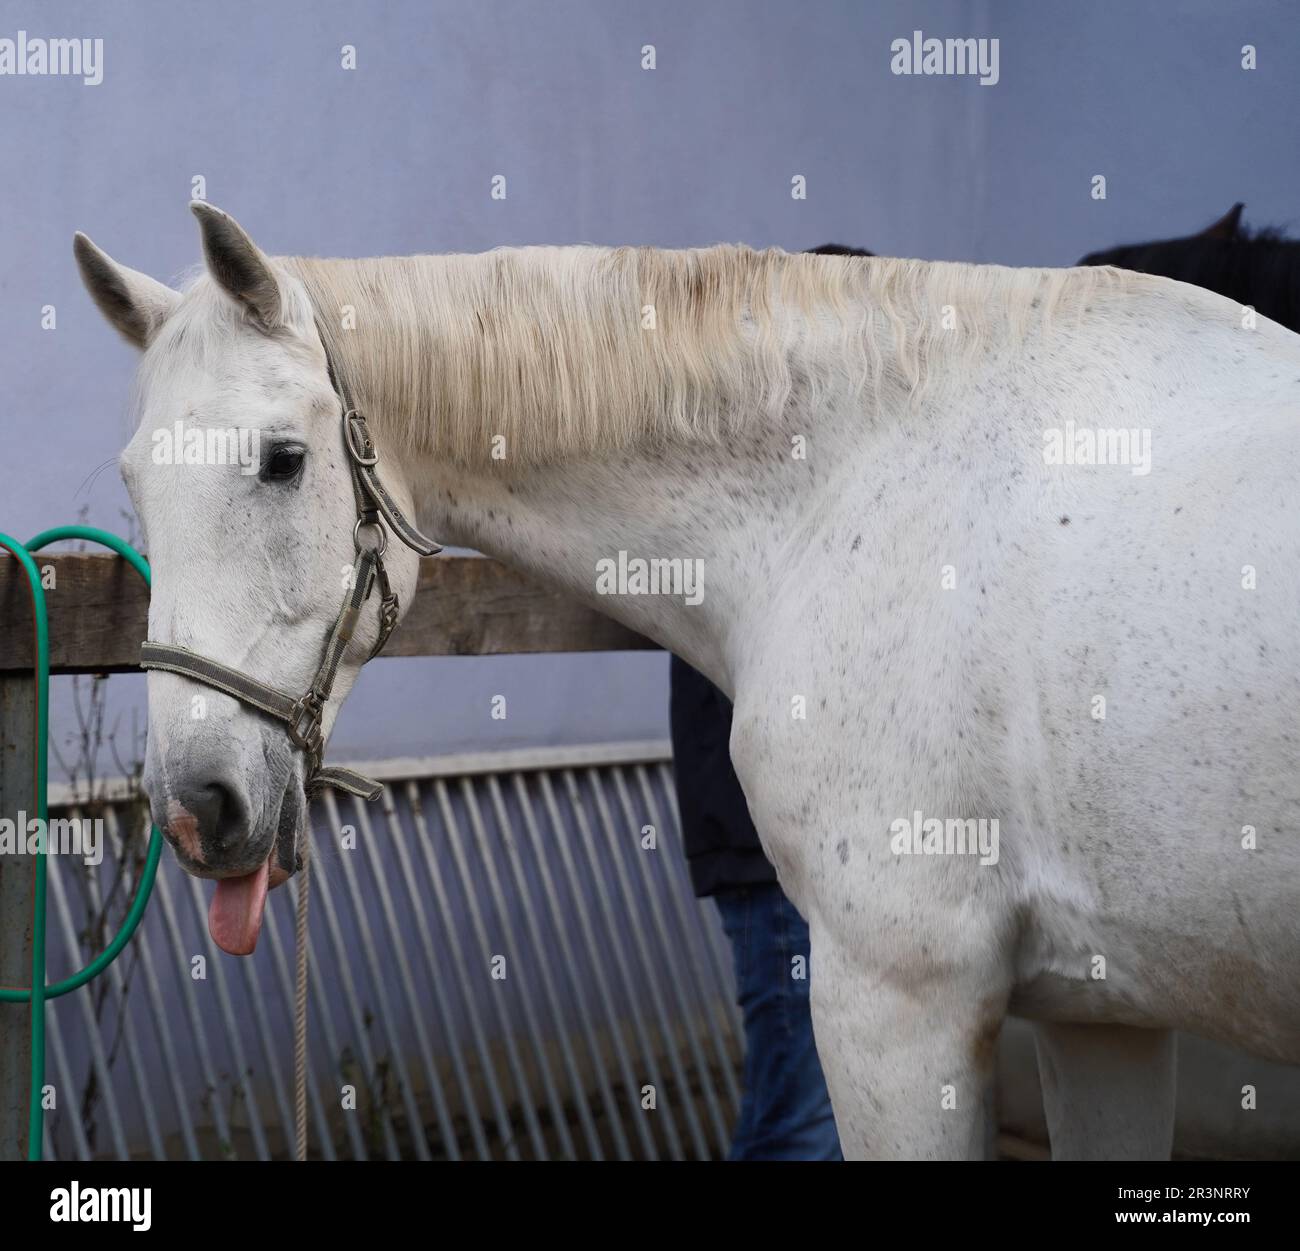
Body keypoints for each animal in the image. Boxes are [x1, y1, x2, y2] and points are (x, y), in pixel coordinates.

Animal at [73, 203, 1300, 1159]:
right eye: (133, 480)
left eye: (282, 461)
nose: (197, 809)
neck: (857, 479)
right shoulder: (1104, 1017)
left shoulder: (899, 1001)